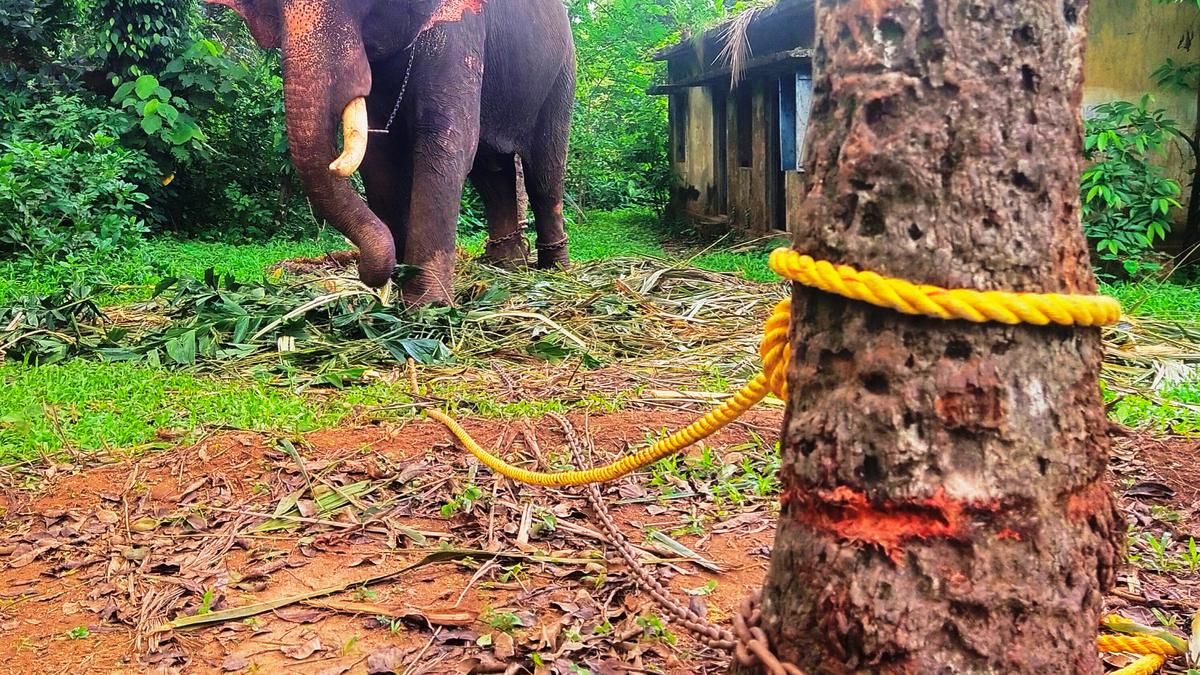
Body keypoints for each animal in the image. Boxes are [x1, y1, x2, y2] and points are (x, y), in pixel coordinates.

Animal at [207, 0, 576, 304]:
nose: (364, 271)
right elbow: (380, 154)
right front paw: (396, 298)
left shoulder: (461, 29)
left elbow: (447, 138)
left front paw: (428, 307)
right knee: (492, 170)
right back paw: (506, 266)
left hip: (561, 74)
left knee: (544, 171)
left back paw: (554, 270)